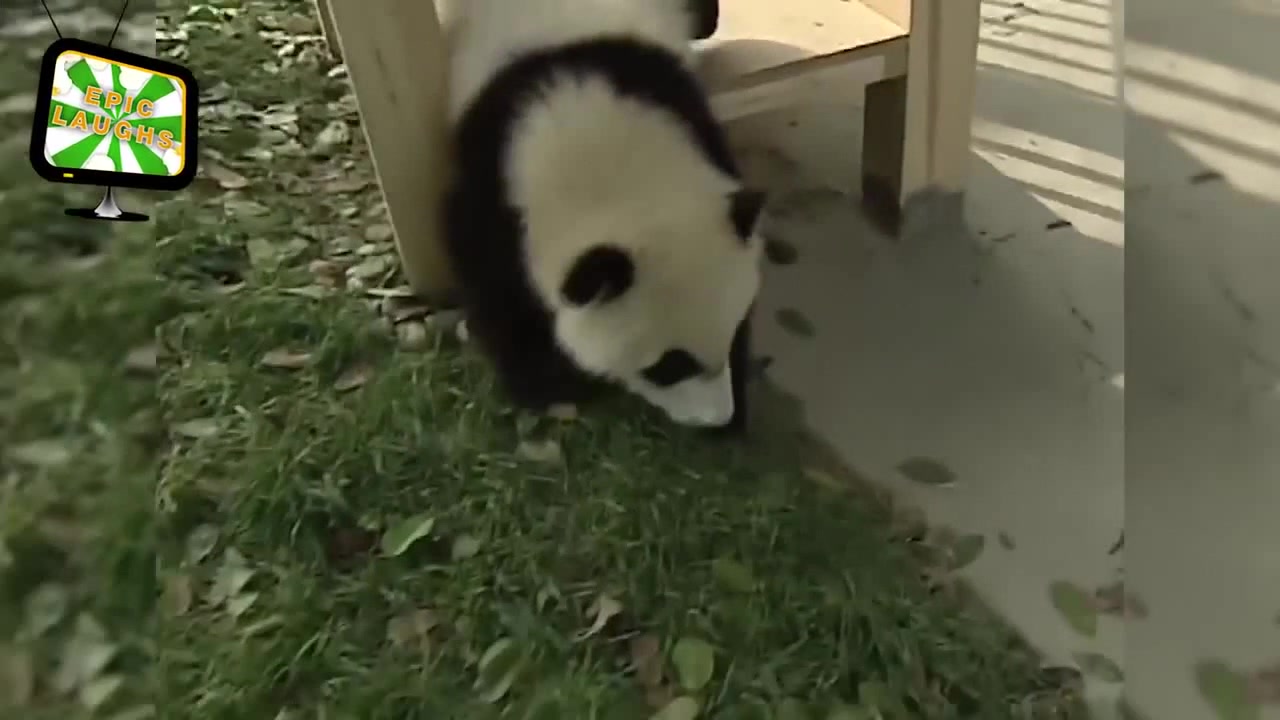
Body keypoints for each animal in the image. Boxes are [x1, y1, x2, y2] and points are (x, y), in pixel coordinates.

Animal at [440, 0, 765, 431]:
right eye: (670, 366)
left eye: (733, 330)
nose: (718, 419)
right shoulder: (493, 184)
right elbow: (496, 289)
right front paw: (547, 384)